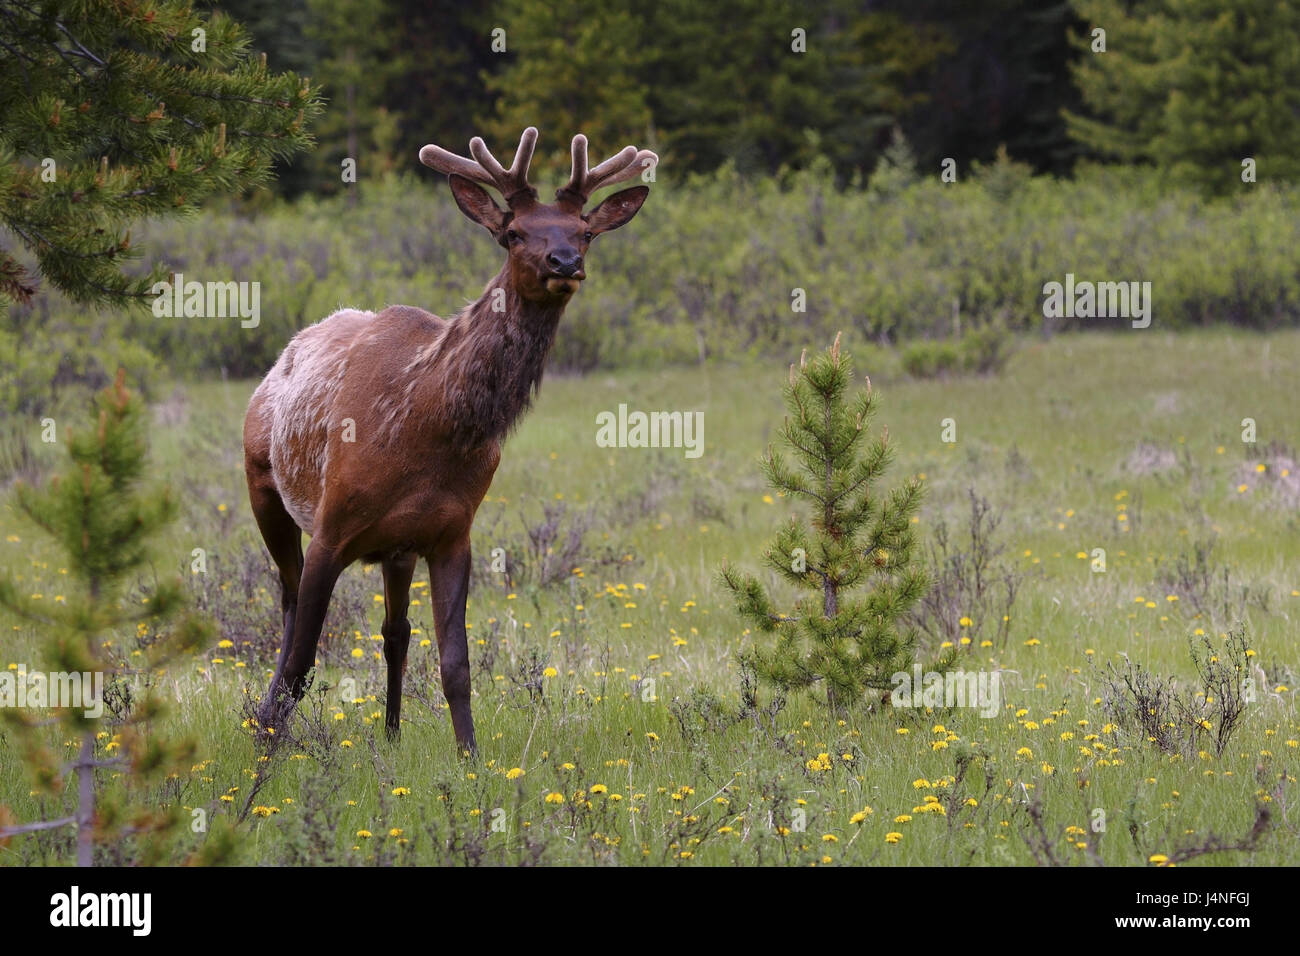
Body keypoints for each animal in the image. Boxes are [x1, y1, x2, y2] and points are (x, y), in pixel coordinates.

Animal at [242, 127, 655, 755]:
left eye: (584, 231)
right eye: (514, 233)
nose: (565, 262)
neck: (425, 426)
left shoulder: (452, 532)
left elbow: (455, 664)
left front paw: (470, 759)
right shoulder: (332, 530)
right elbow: (302, 663)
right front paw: (266, 755)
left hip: (396, 549)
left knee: (395, 630)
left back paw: (389, 734)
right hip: (264, 486)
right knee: (288, 610)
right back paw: (268, 718)